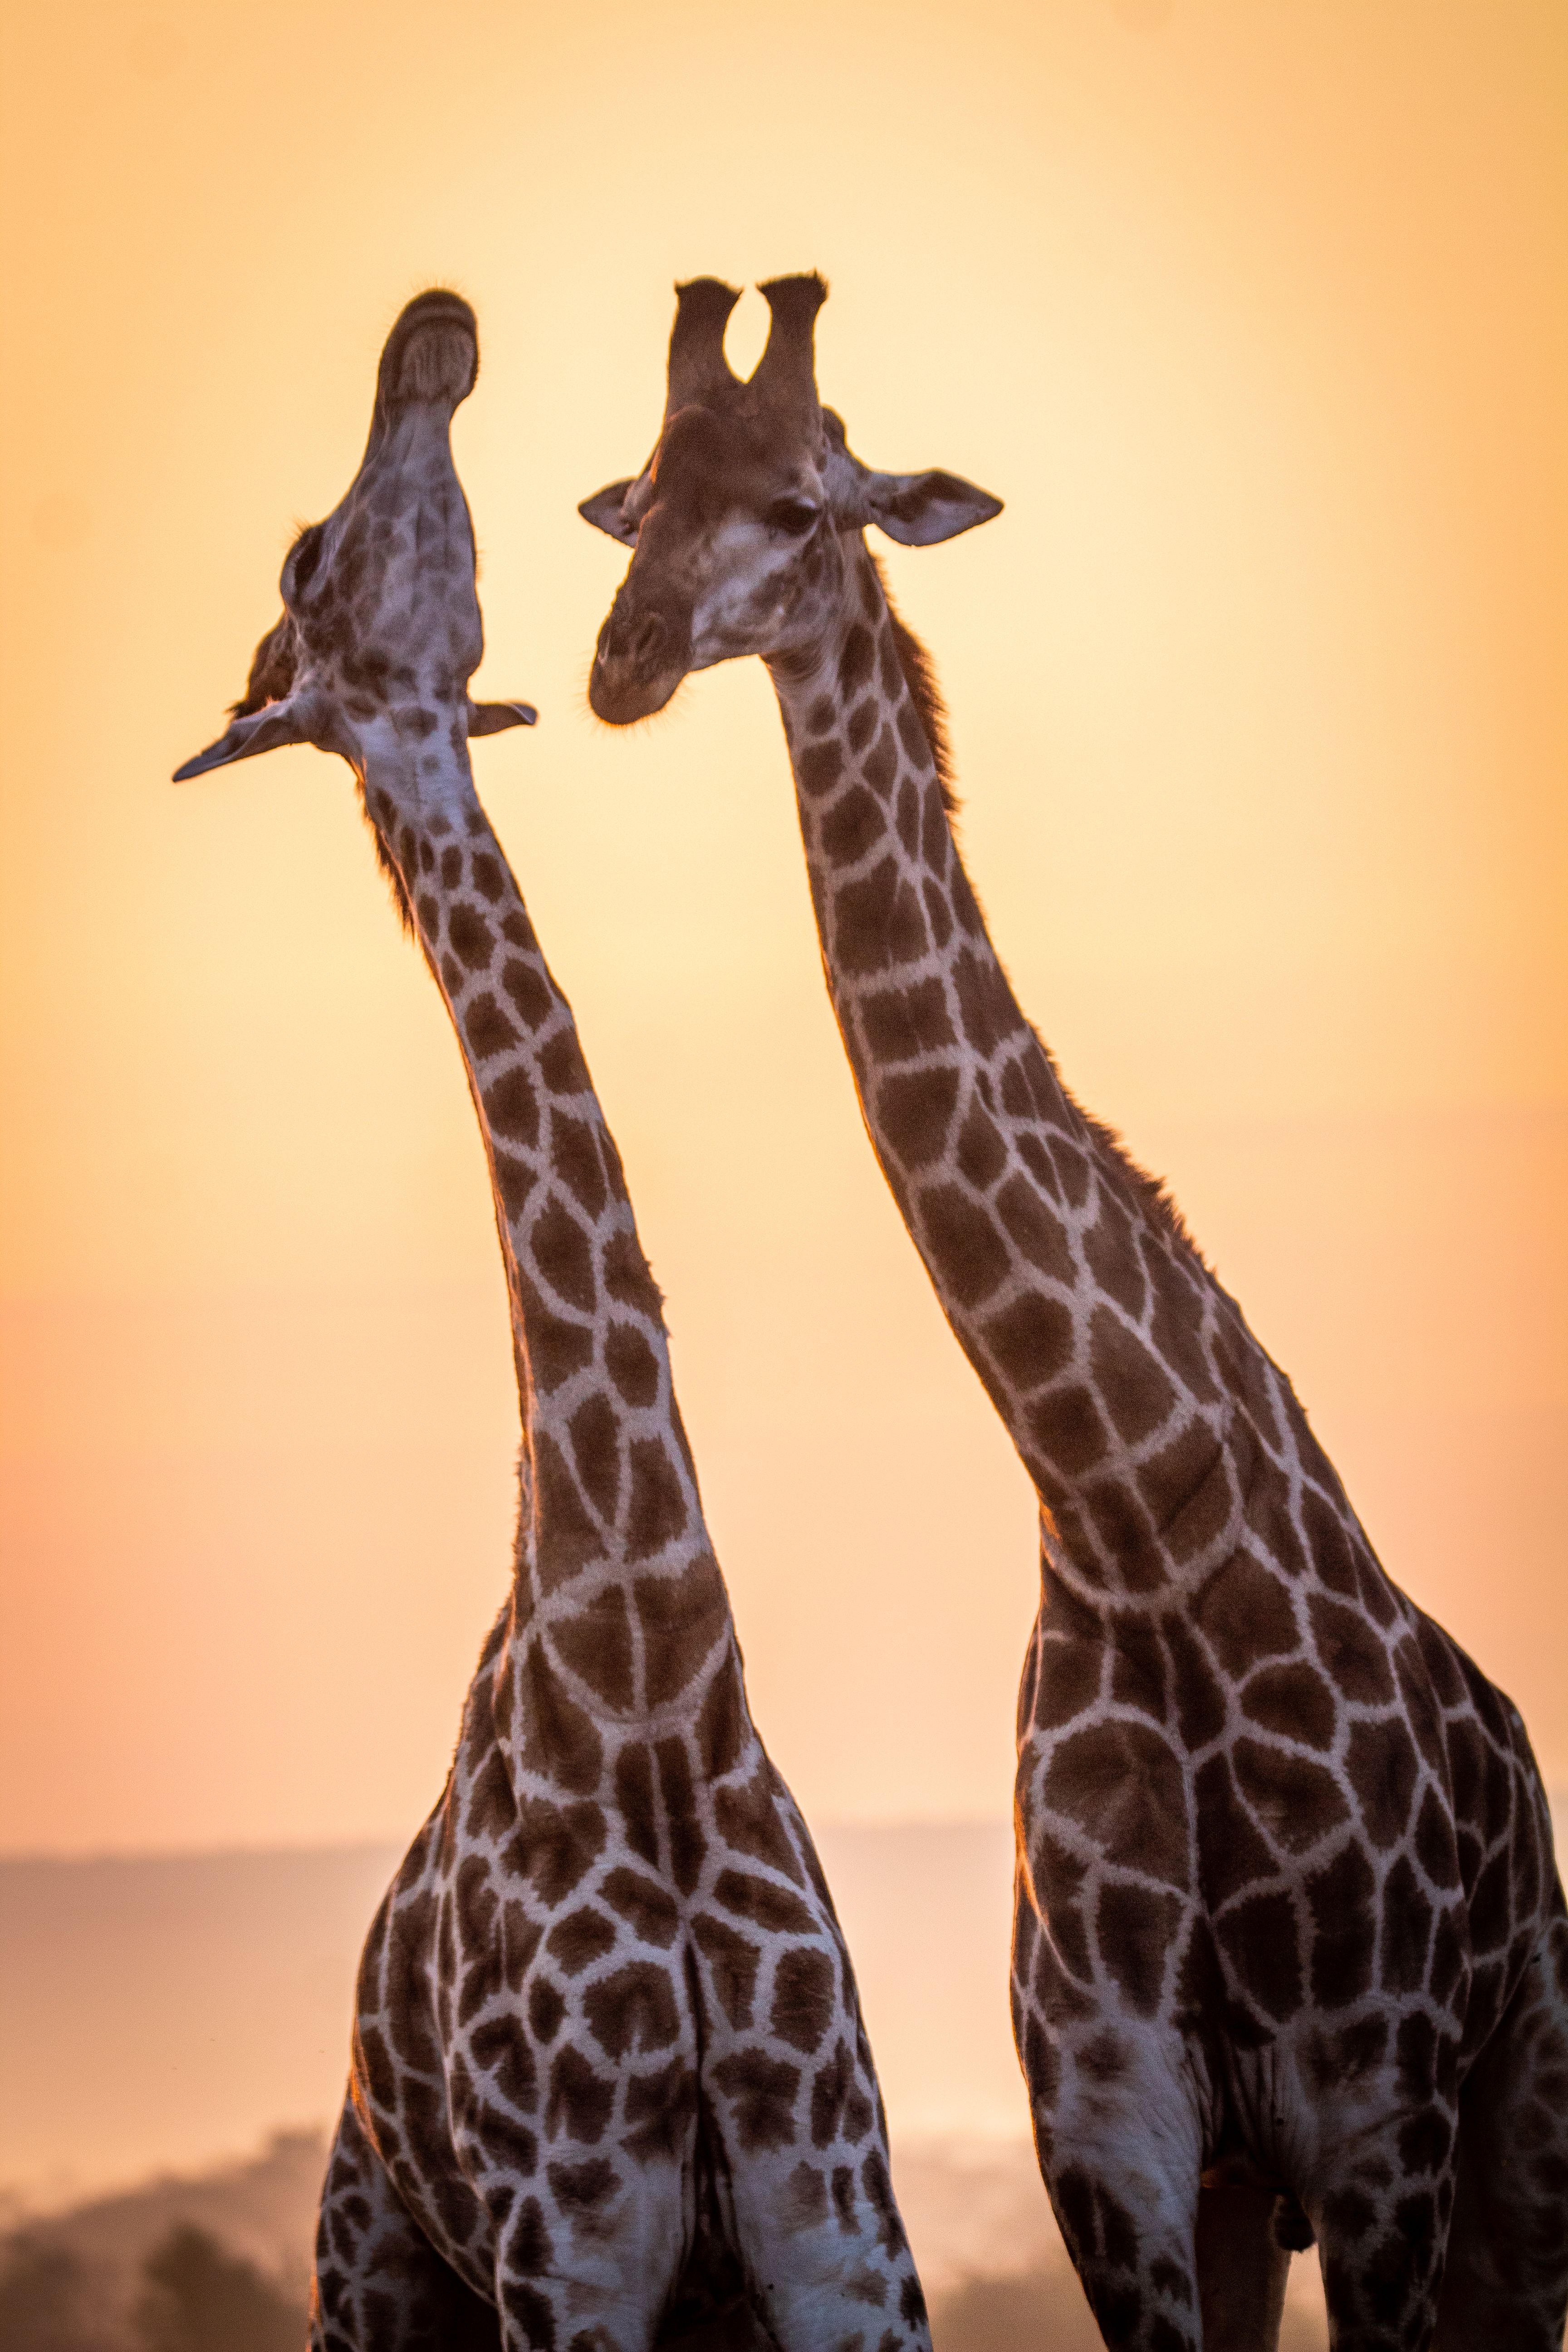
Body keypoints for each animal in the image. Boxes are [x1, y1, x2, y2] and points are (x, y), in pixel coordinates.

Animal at [174, 288, 931, 2352]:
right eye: (306, 559)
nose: (427, 333)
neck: (653, 1688)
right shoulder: (566, 2250)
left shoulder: (840, 2232)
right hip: (378, 2275)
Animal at [578, 274, 1568, 2352]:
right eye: (648, 494)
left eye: (800, 502)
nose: (623, 660)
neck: (1131, 1517)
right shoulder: (1115, 2138)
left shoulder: (1379, 2125)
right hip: (1256, 2200)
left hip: (1518, 2133)